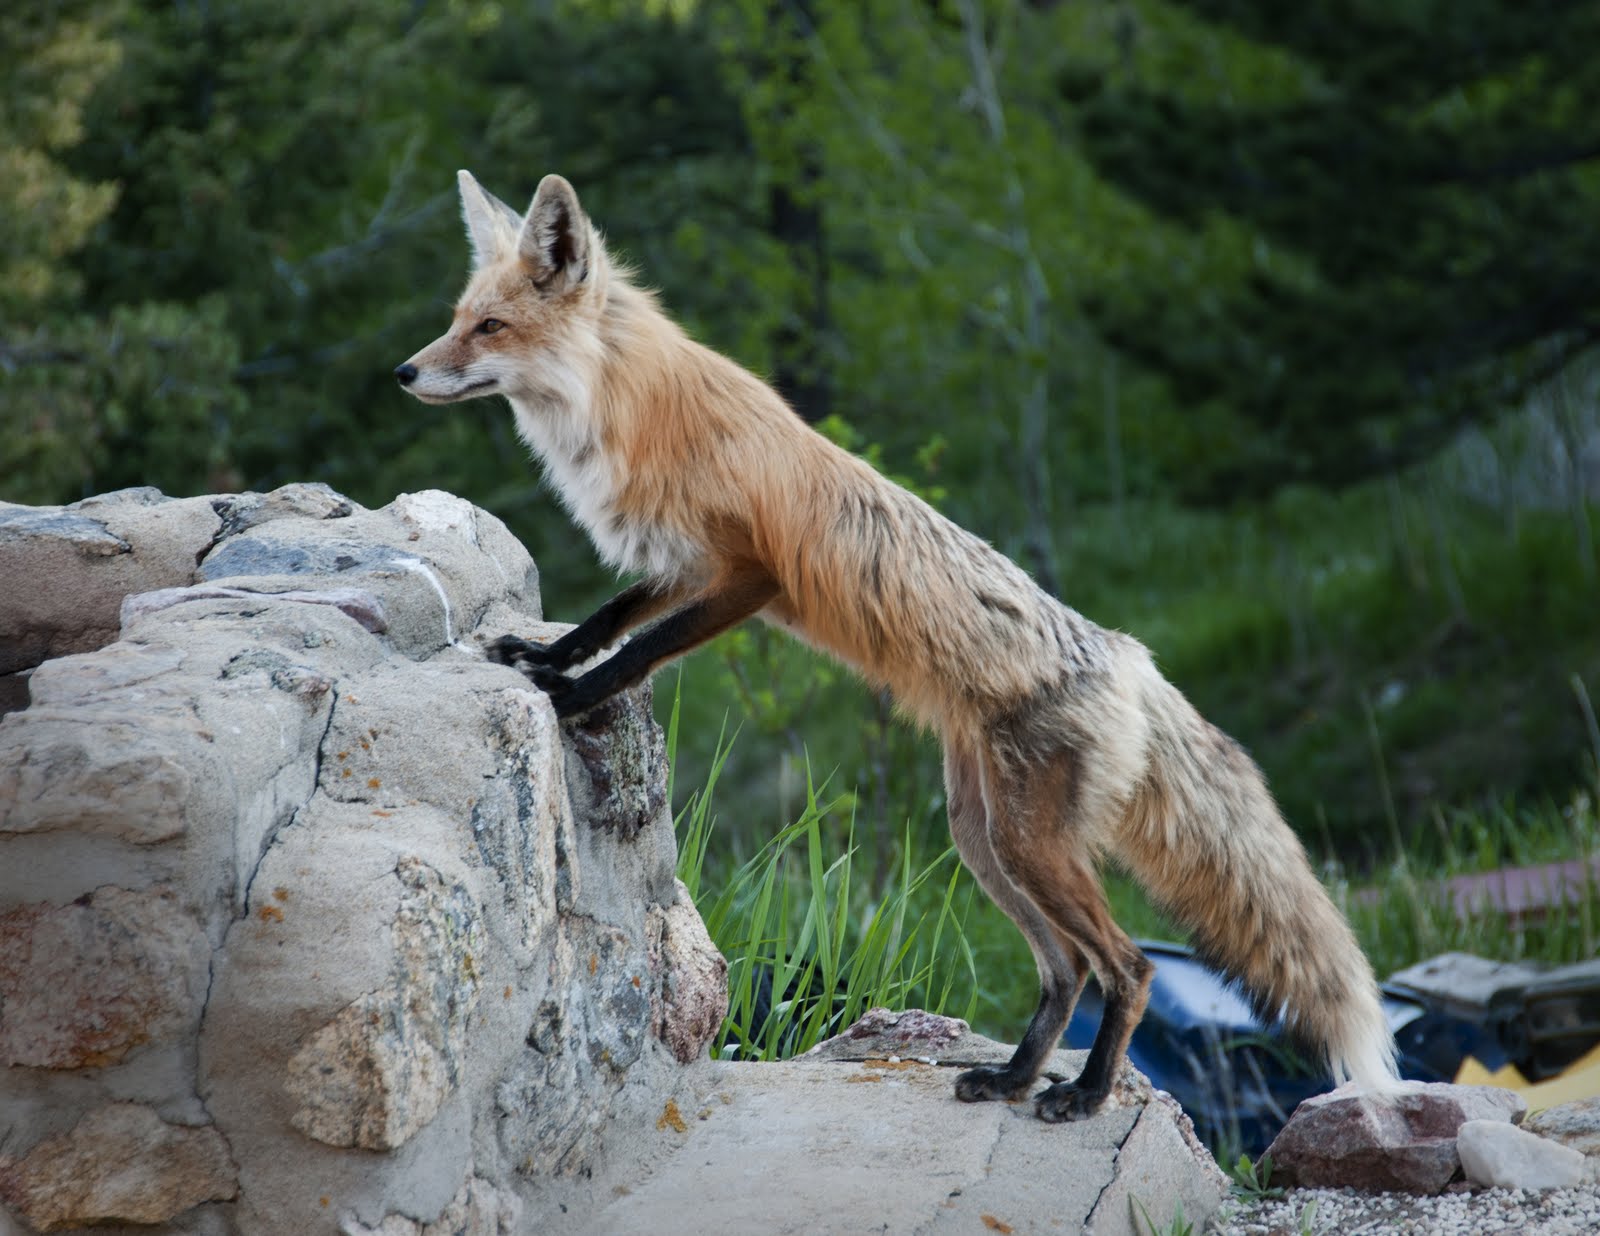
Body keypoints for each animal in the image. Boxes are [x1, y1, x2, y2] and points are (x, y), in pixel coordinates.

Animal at [395, 170, 1399, 1121]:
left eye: (489, 327)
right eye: (456, 320)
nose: (404, 372)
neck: (631, 408)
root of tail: (1130, 659)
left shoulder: (748, 575)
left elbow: (642, 650)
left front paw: (570, 698)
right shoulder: (684, 565)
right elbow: (608, 619)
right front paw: (544, 661)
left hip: (1030, 847)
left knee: (1129, 966)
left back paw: (1083, 1093)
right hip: (986, 841)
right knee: (1066, 969)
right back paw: (1014, 1077)